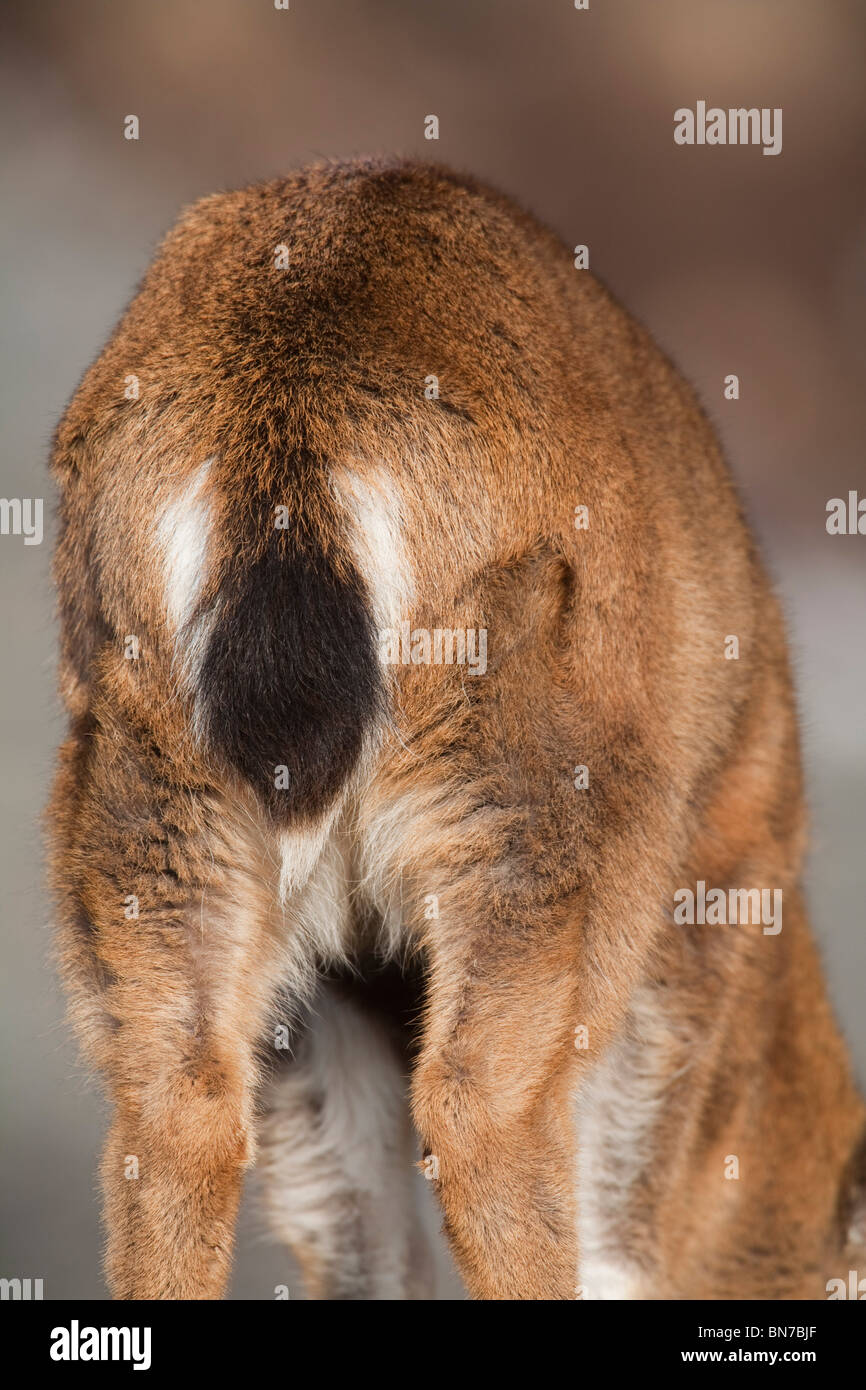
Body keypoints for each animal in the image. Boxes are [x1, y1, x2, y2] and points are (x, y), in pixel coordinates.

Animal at [48, 157, 866, 1300]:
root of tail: (283, 435)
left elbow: (359, 1239)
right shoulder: (706, 898)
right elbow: (618, 1223)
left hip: (151, 813)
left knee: (174, 1117)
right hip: (538, 817)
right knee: (486, 1116)